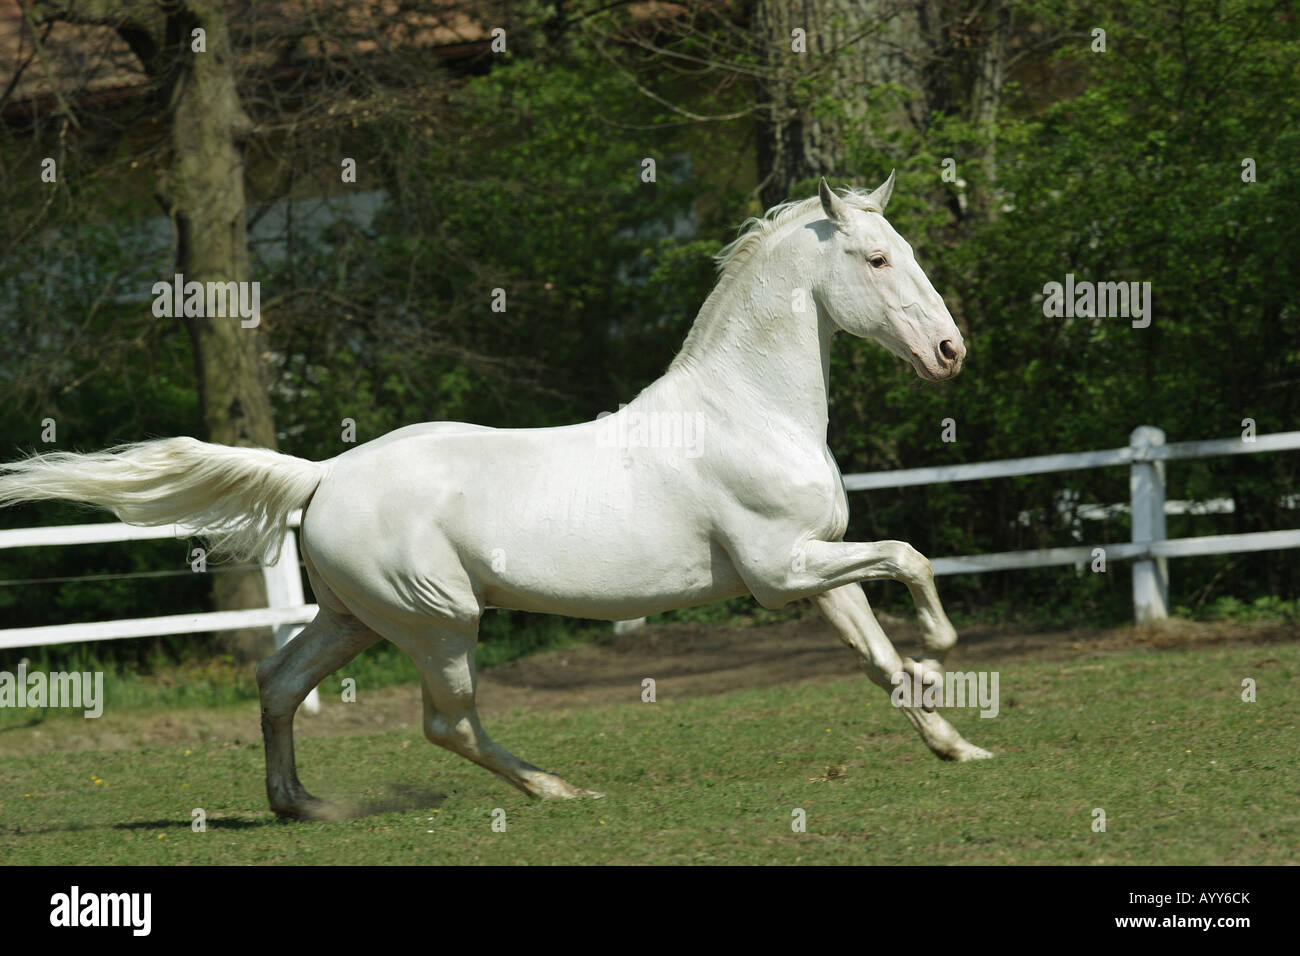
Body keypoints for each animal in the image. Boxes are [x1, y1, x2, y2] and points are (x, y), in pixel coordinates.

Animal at [0, 174, 991, 819]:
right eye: (876, 258)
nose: (950, 352)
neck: (745, 412)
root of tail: (323, 475)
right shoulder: (782, 571)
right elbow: (912, 561)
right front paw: (944, 651)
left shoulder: (814, 569)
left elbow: (876, 658)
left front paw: (958, 745)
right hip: (440, 623)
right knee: (449, 724)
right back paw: (556, 788)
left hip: (354, 618)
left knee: (278, 683)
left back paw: (305, 806)